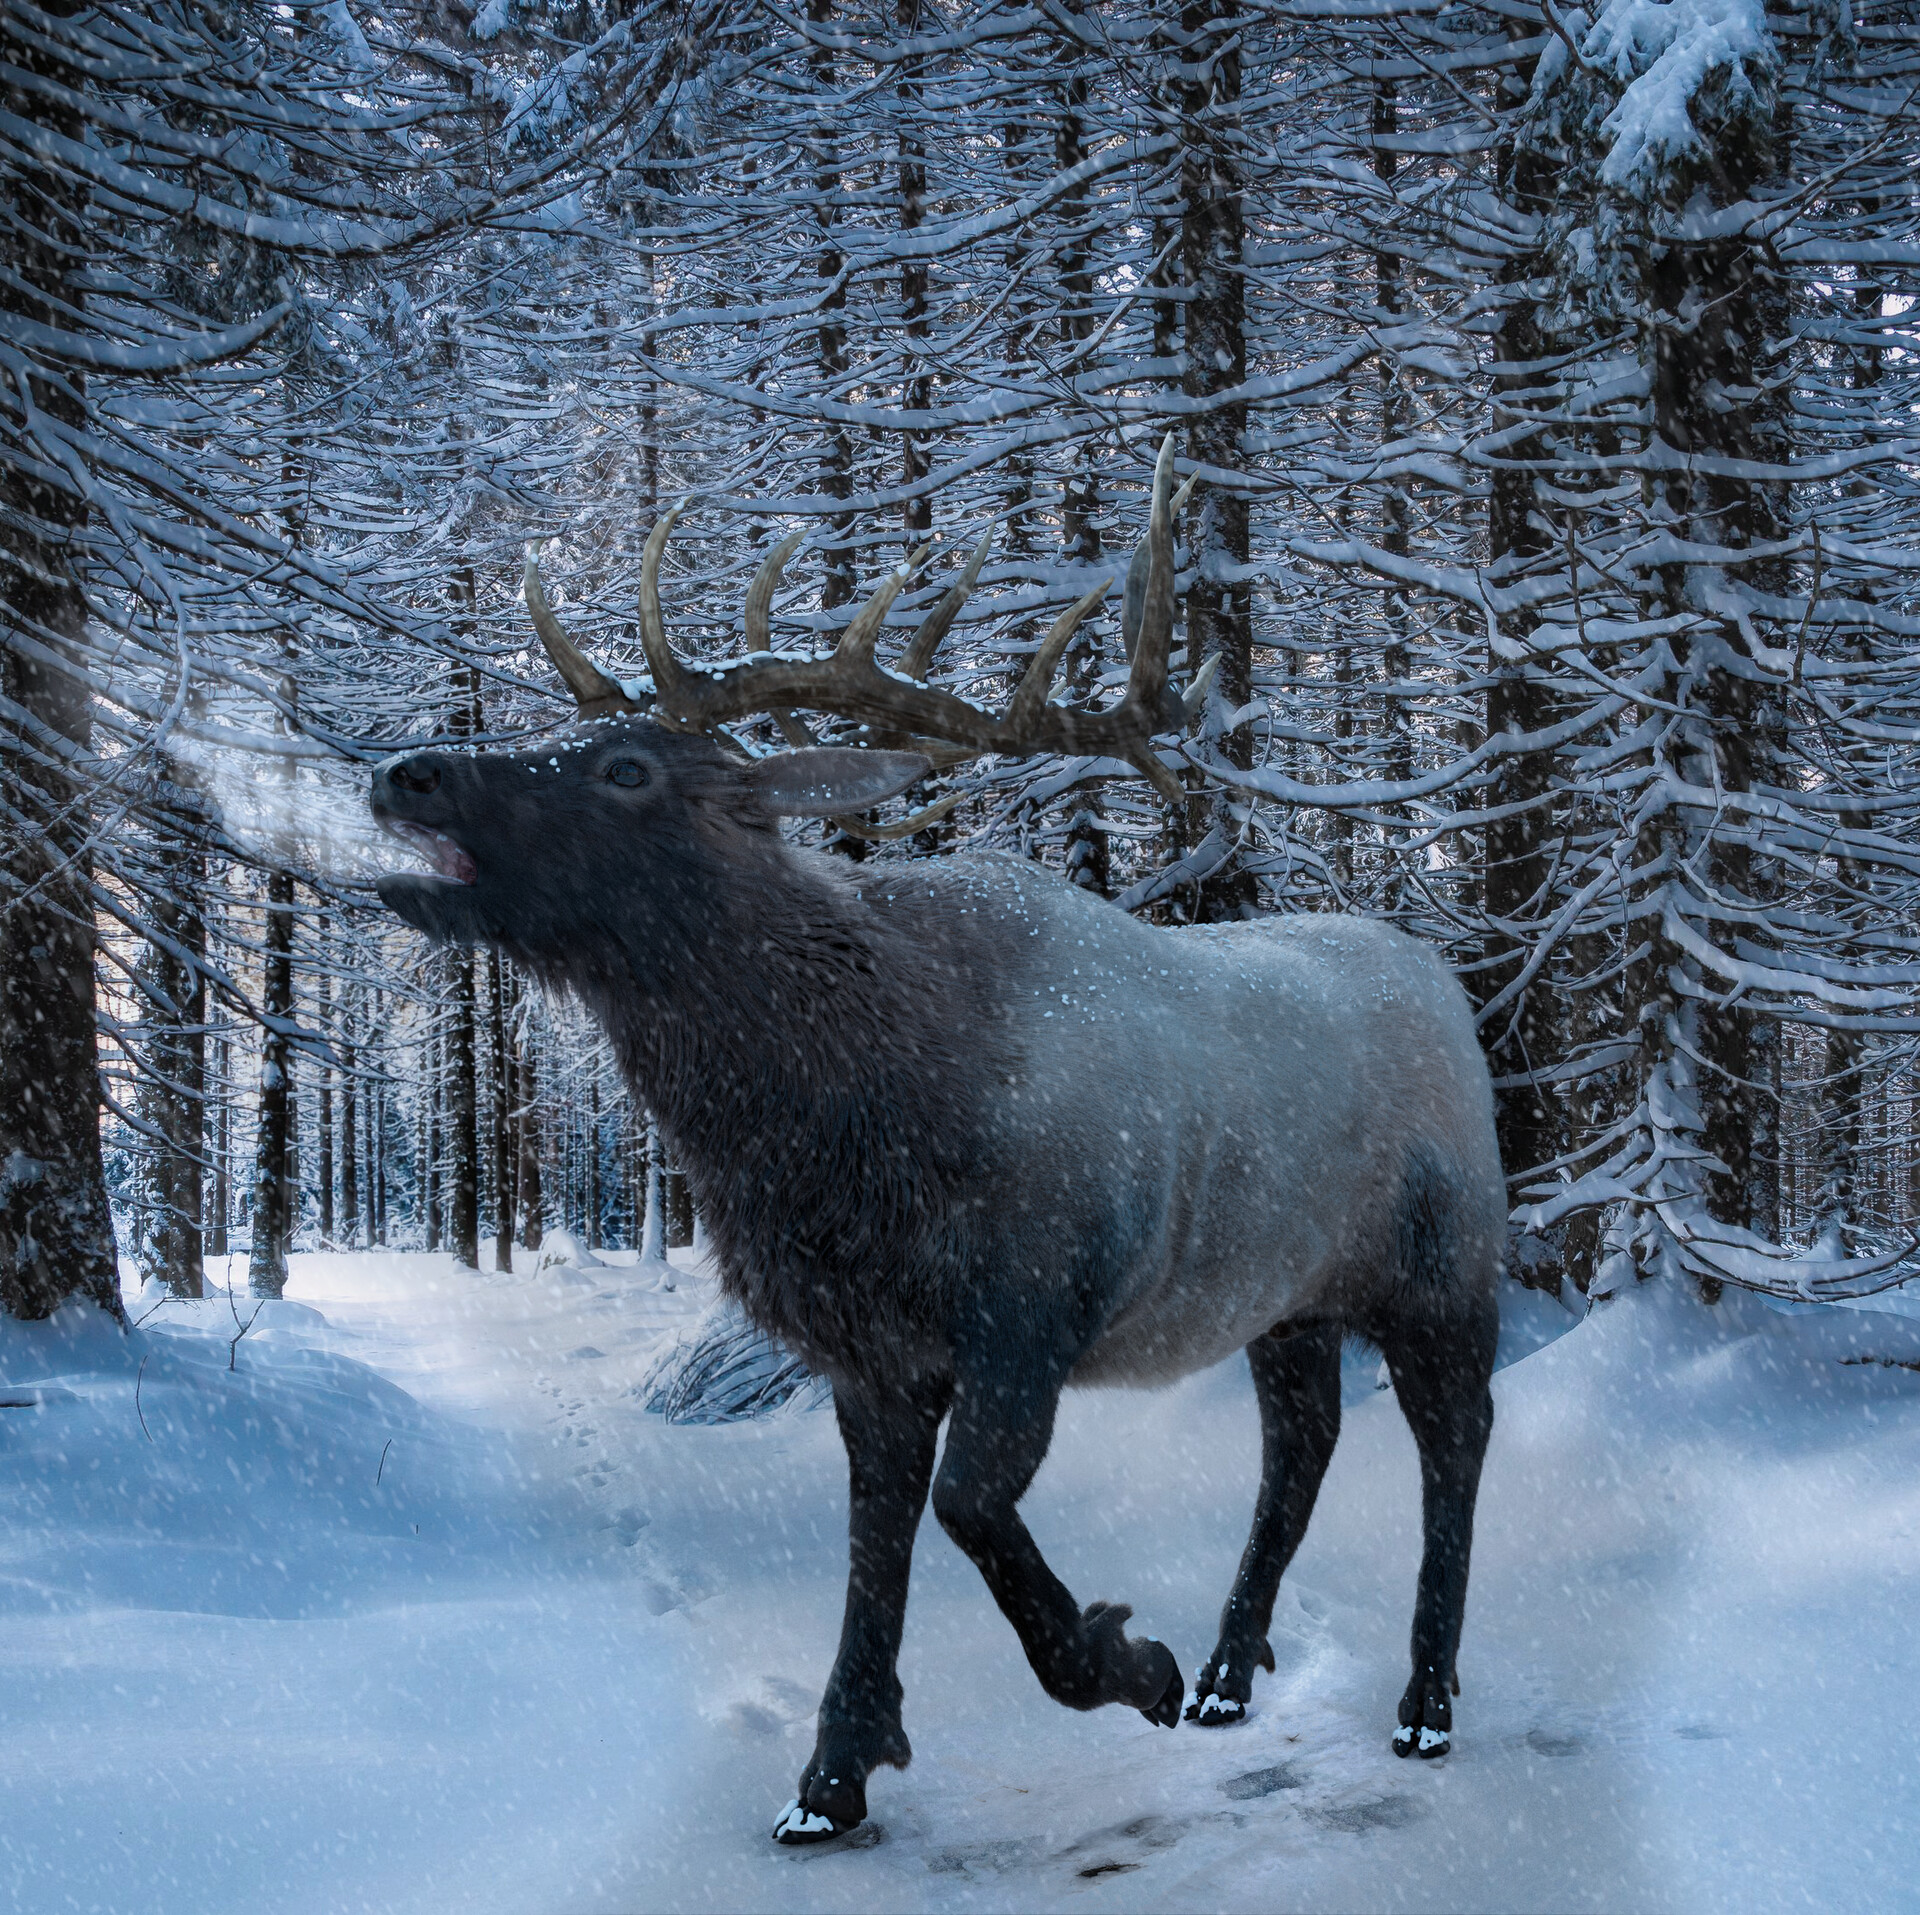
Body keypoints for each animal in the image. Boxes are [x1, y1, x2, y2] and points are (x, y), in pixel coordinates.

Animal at [370, 437, 1504, 1845]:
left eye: (630, 768)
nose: (405, 769)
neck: (837, 1129)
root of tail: (1449, 987)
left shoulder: (1029, 1308)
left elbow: (967, 1508)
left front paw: (1126, 1661)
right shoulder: (869, 1345)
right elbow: (877, 1543)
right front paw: (831, 1781)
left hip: (1444, 1261)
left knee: (1457, 1438)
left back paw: (1422, 1700)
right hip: (1287, 1295)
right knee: (1300, 1441)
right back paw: (1234, 1672)